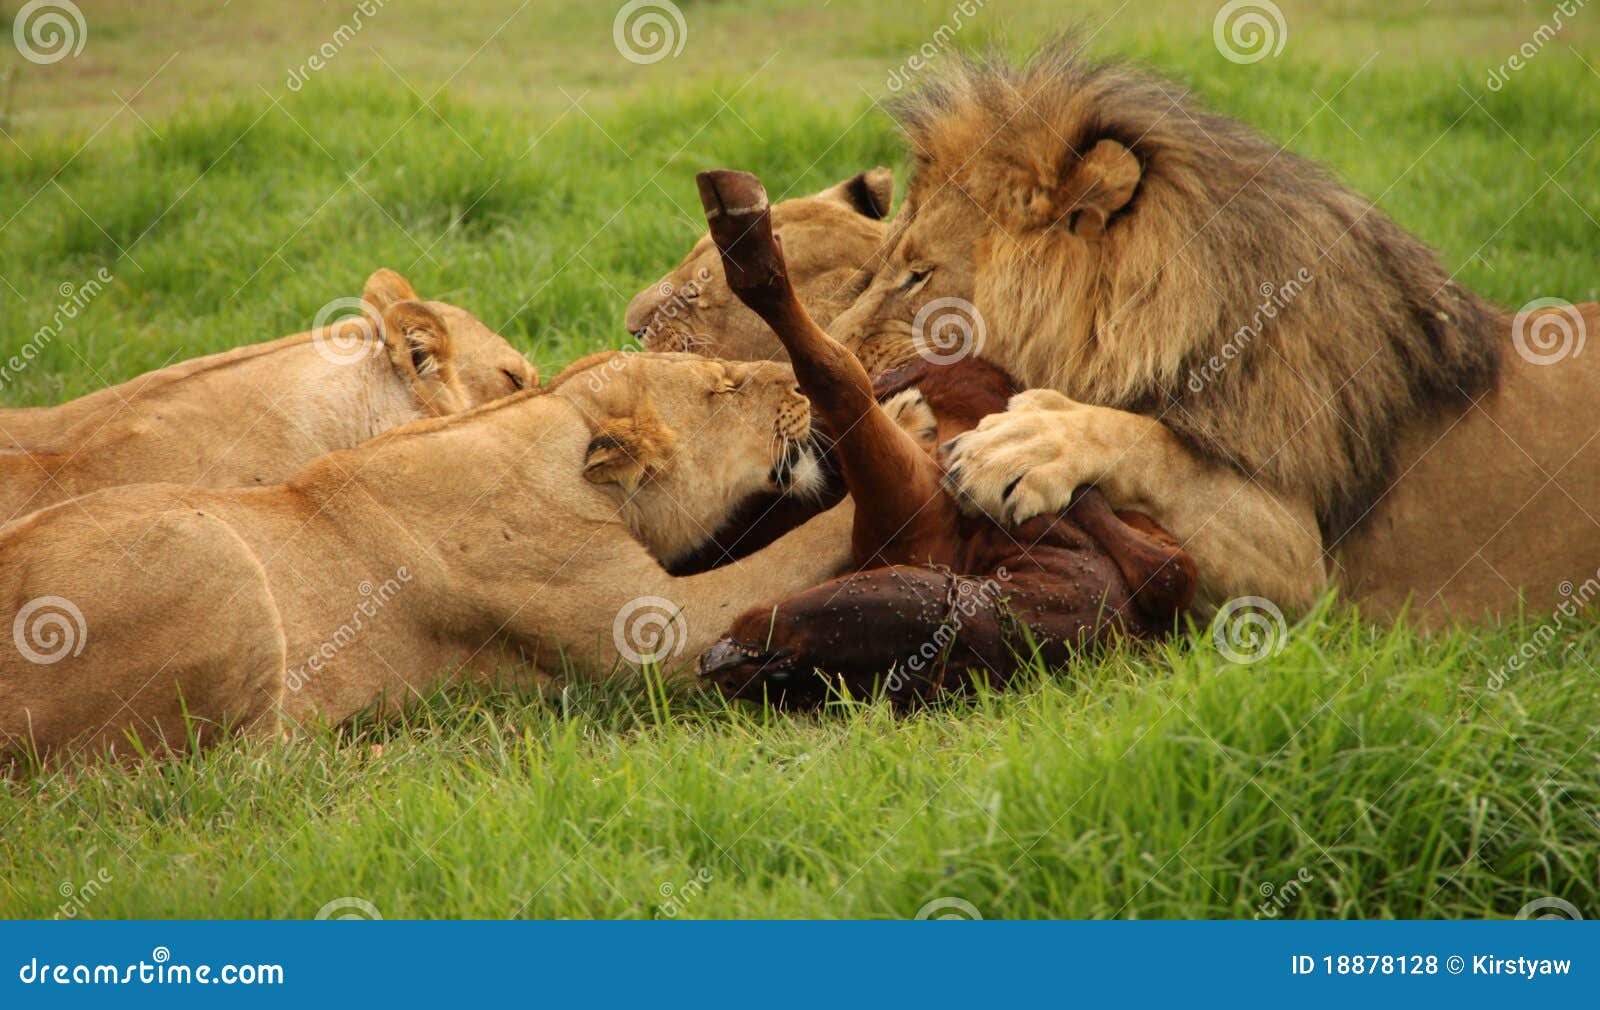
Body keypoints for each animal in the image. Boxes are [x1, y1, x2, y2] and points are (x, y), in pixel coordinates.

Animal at [0, 352, 855, 763]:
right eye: (727, 384)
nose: (807, 381)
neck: (558, 430)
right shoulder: (655, 635)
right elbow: (792, 553)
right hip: (207, 546)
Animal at [829, 43, 1594, 625]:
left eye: (917, 275)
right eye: (880, 263)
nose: (832, 359)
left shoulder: (1304, 571)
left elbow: (1157, 445)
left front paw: (1029, 442)